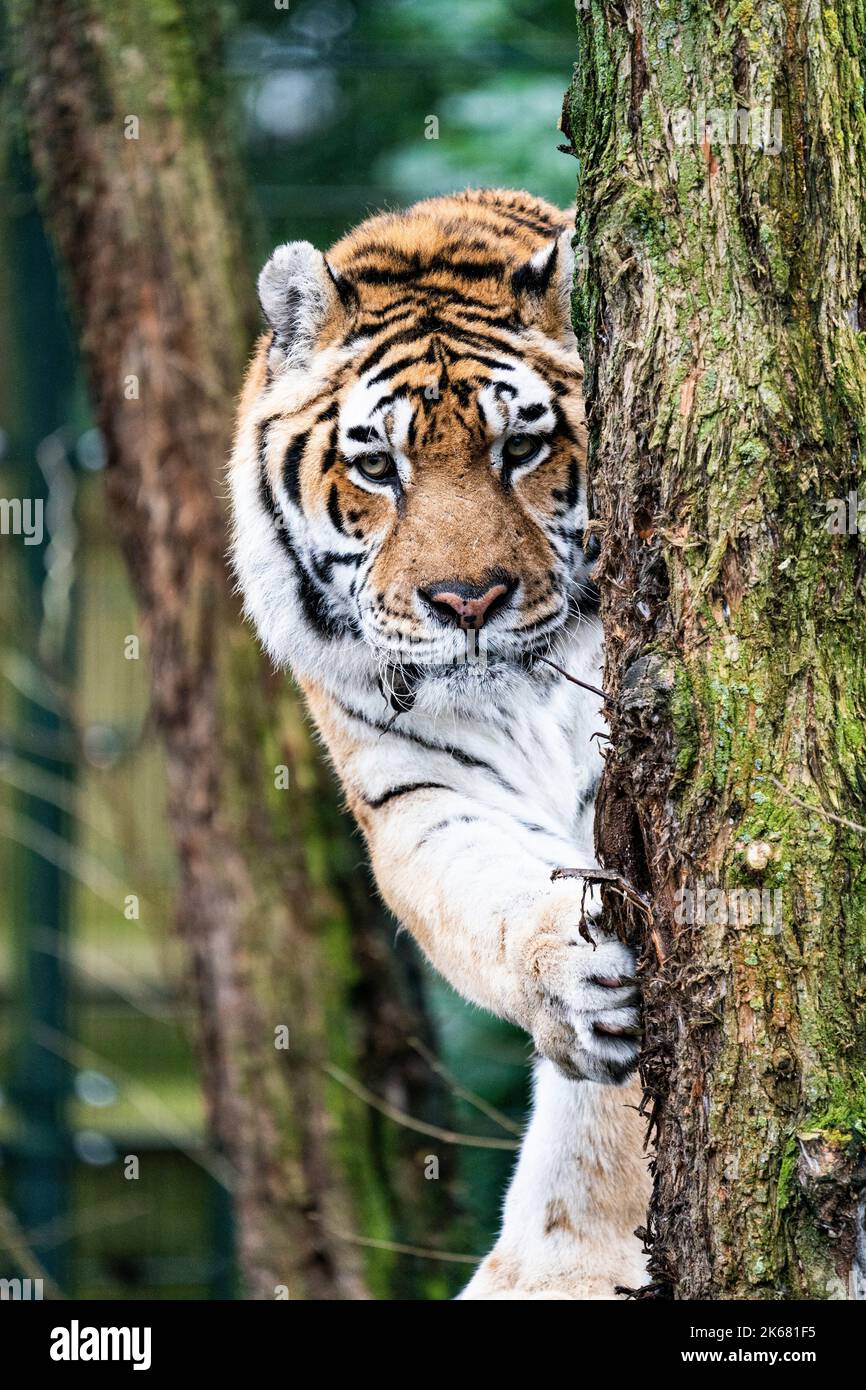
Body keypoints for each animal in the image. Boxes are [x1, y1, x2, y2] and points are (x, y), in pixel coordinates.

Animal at [228, 188, 650, 1299]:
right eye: (378, 465)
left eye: (522, 449)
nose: (466, 600)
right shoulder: (416, 800)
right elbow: (493, 907)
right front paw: (569, 974)